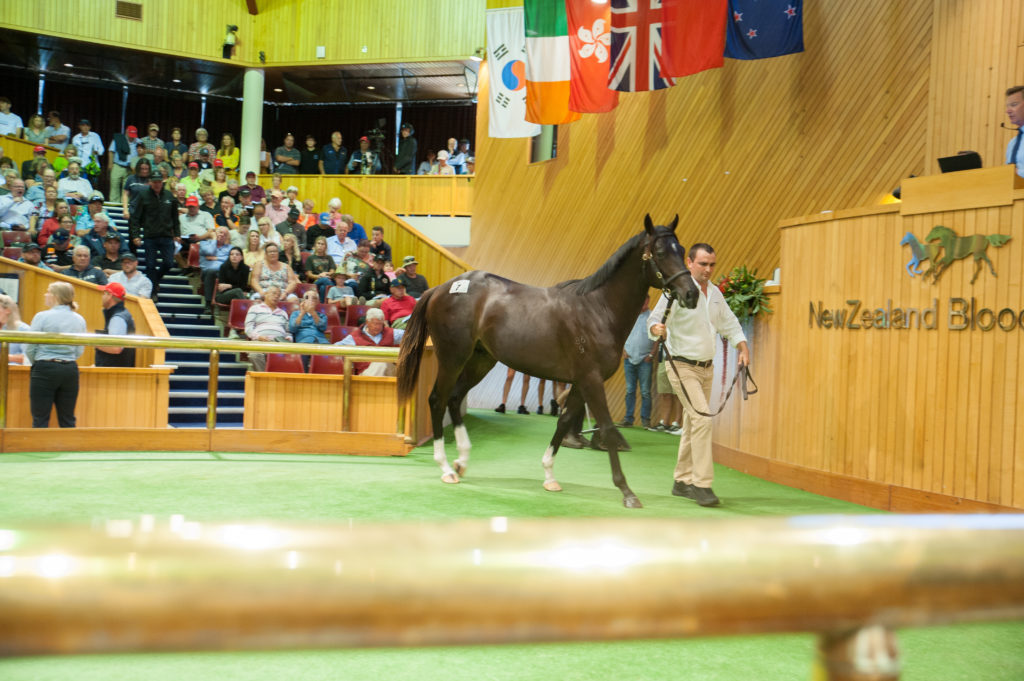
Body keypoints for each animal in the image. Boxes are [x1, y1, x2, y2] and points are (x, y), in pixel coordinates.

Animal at [396, 215, 700, 508]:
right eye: (660, 252)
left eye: (682, 250)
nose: (692, 294)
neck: (598, 310)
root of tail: (441, 289)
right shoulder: (591, 380)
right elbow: (607, 427)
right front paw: (626, 491)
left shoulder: (581, 381)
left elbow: (564, 421)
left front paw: (549, 476)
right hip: (453, 357)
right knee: (437, 399)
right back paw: (446, 468)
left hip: (480, 361)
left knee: (455, 398)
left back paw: (462, 461)